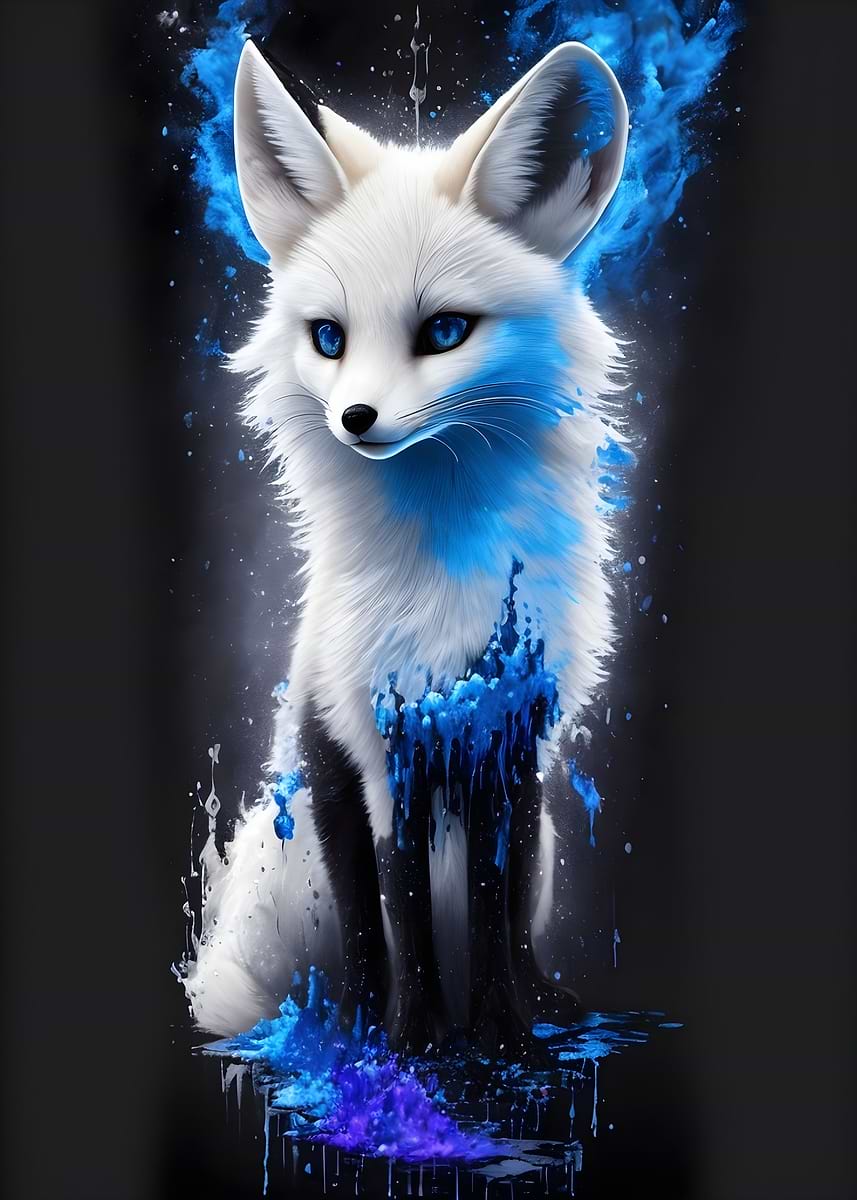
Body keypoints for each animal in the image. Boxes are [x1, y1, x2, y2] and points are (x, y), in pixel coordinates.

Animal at [183, 37, 629, 1055]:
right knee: (351, 936)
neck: (446, 581)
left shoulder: (513, 738)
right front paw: (418, 1033)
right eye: (328, 338)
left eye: (444, 331)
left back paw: (543, 1003)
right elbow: (400, 903)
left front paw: (504, 1028)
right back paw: (350, 1020)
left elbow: (498, 895)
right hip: (311, 825)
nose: (356, 420)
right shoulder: (374, 740)